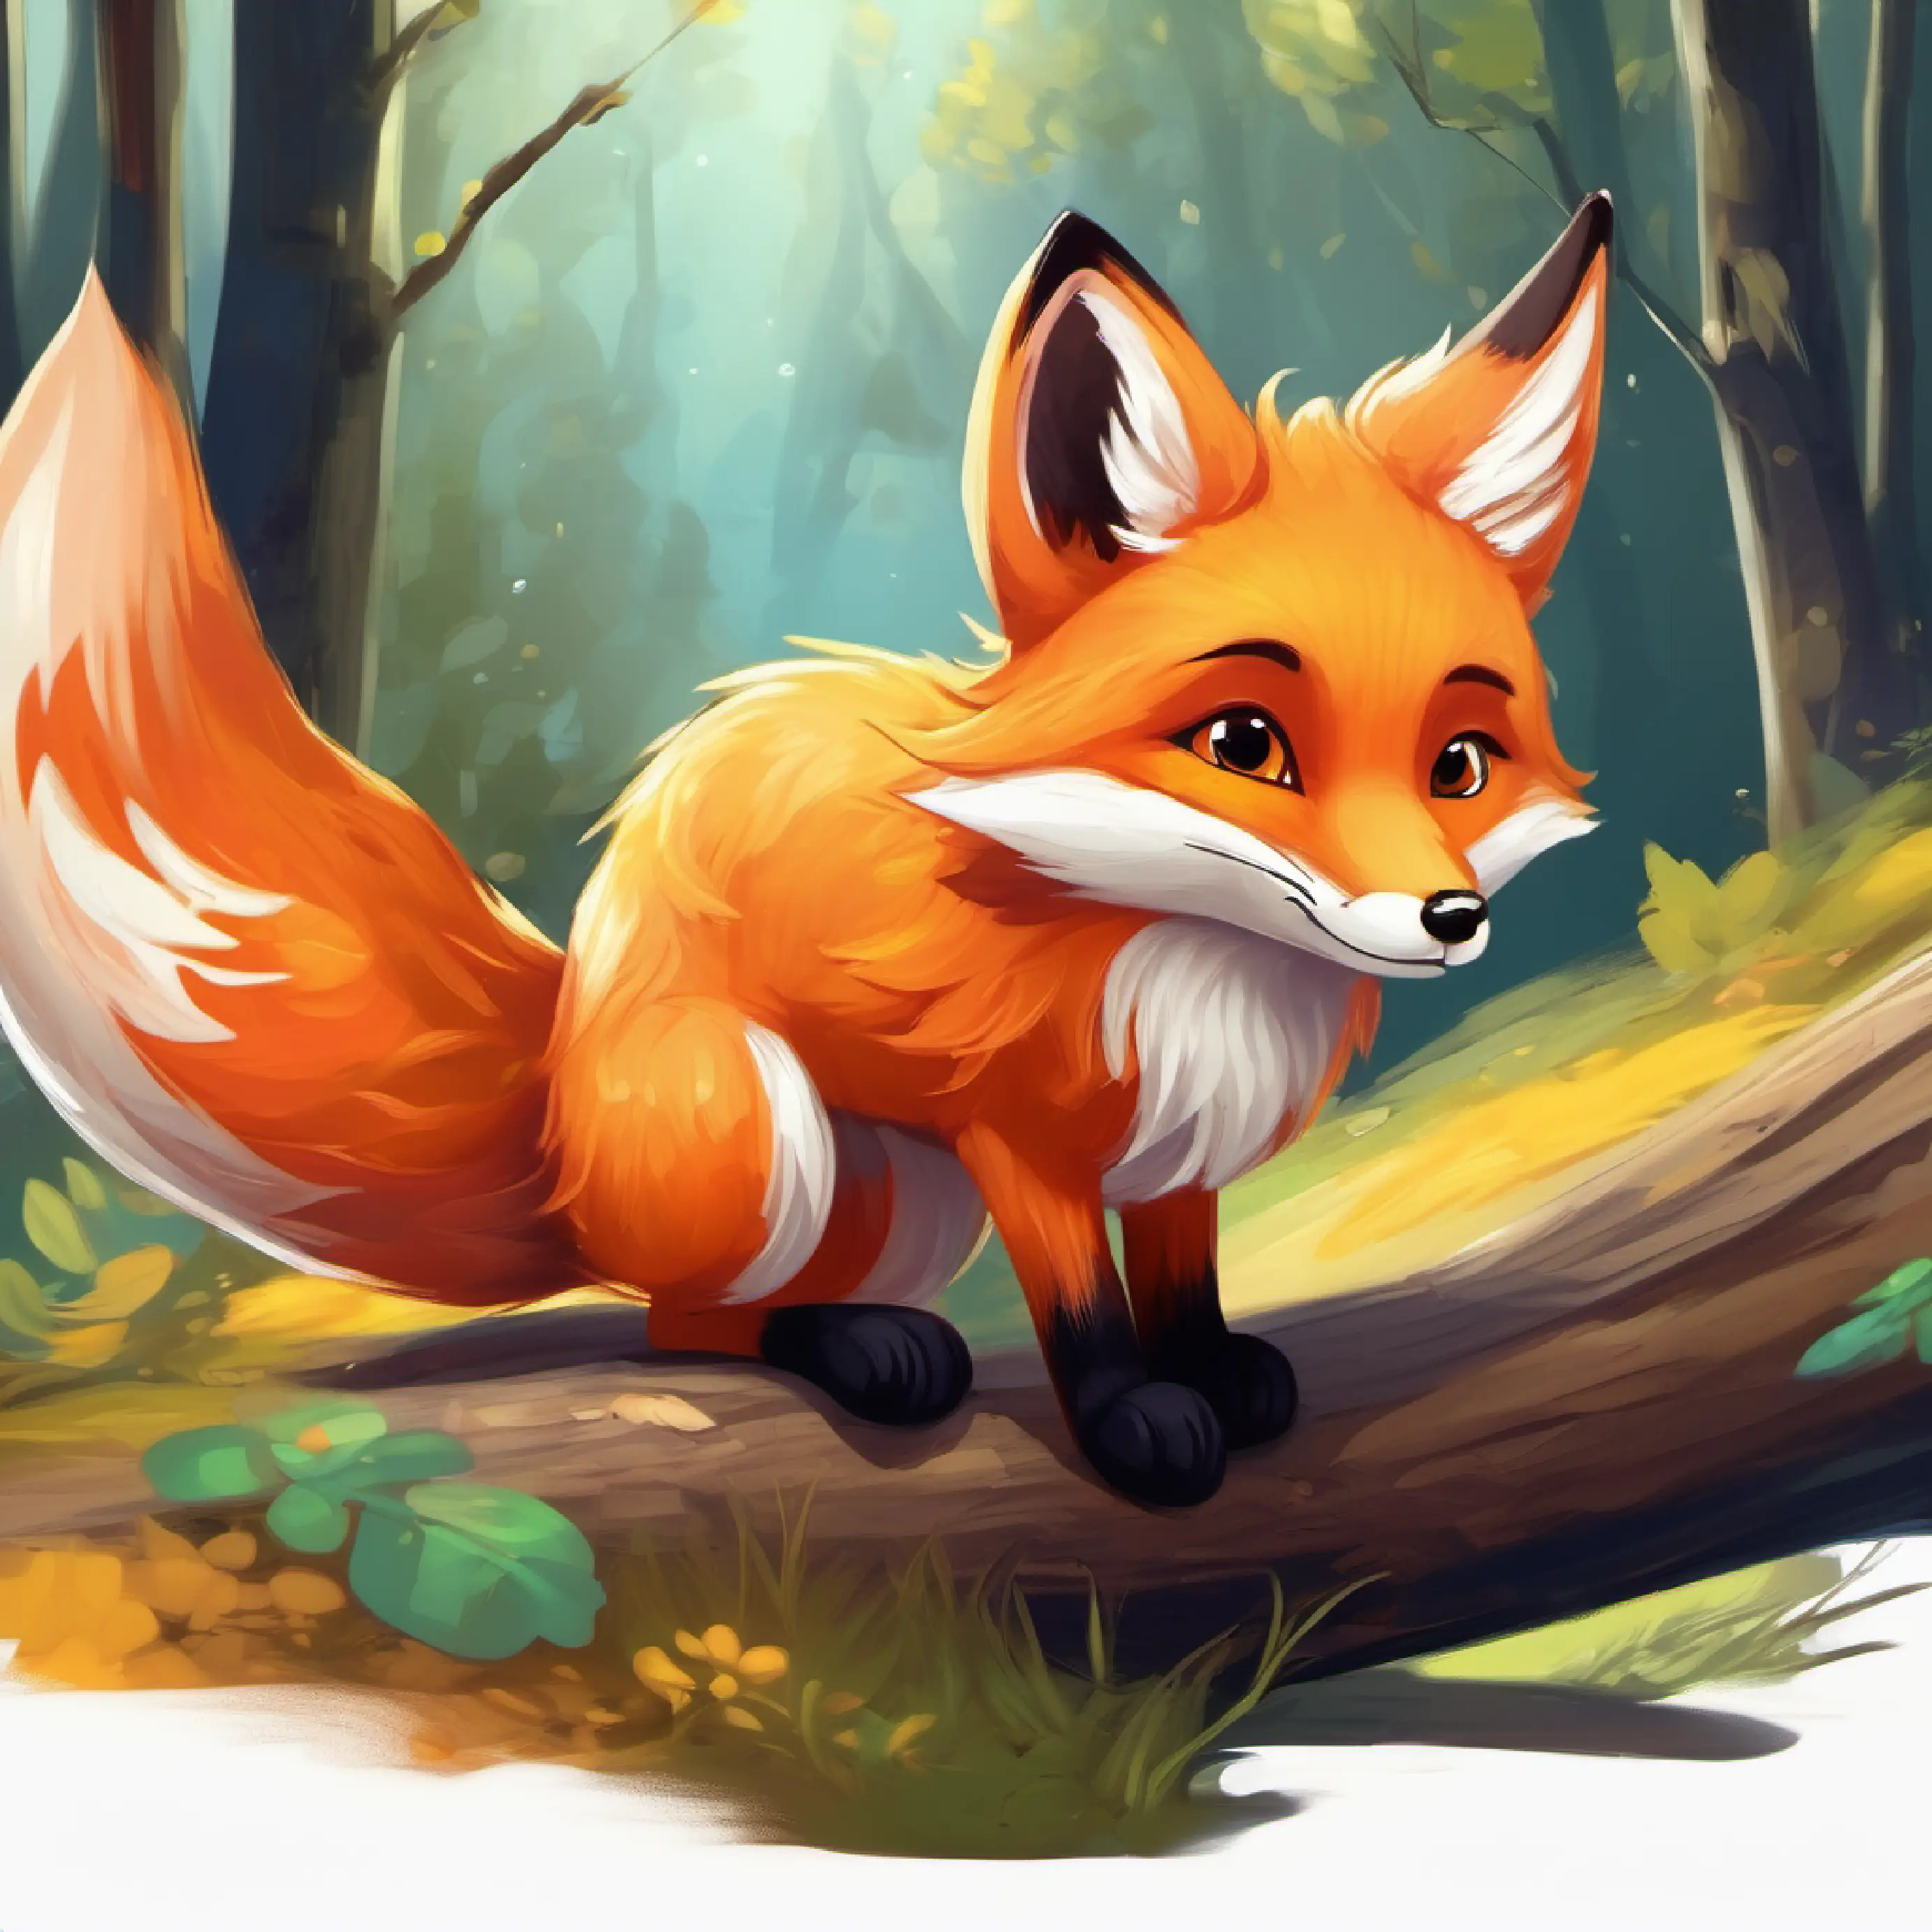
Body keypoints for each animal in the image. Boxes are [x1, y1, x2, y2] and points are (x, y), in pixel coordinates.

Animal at [0, 194, 1608, 1507]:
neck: (1192, 964)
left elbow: (1181, 1281)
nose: (1447, 917)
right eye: (1244, 745)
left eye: (1458, 766)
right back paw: (859, 1355)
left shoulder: (1177, 1146)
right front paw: (1133, 1421)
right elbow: (1084, 1311)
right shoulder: (1015, 1135)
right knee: (685, 1326)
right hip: (760, 1128)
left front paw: (1210, 1368)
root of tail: (562, 1112)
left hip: (900, 1199)